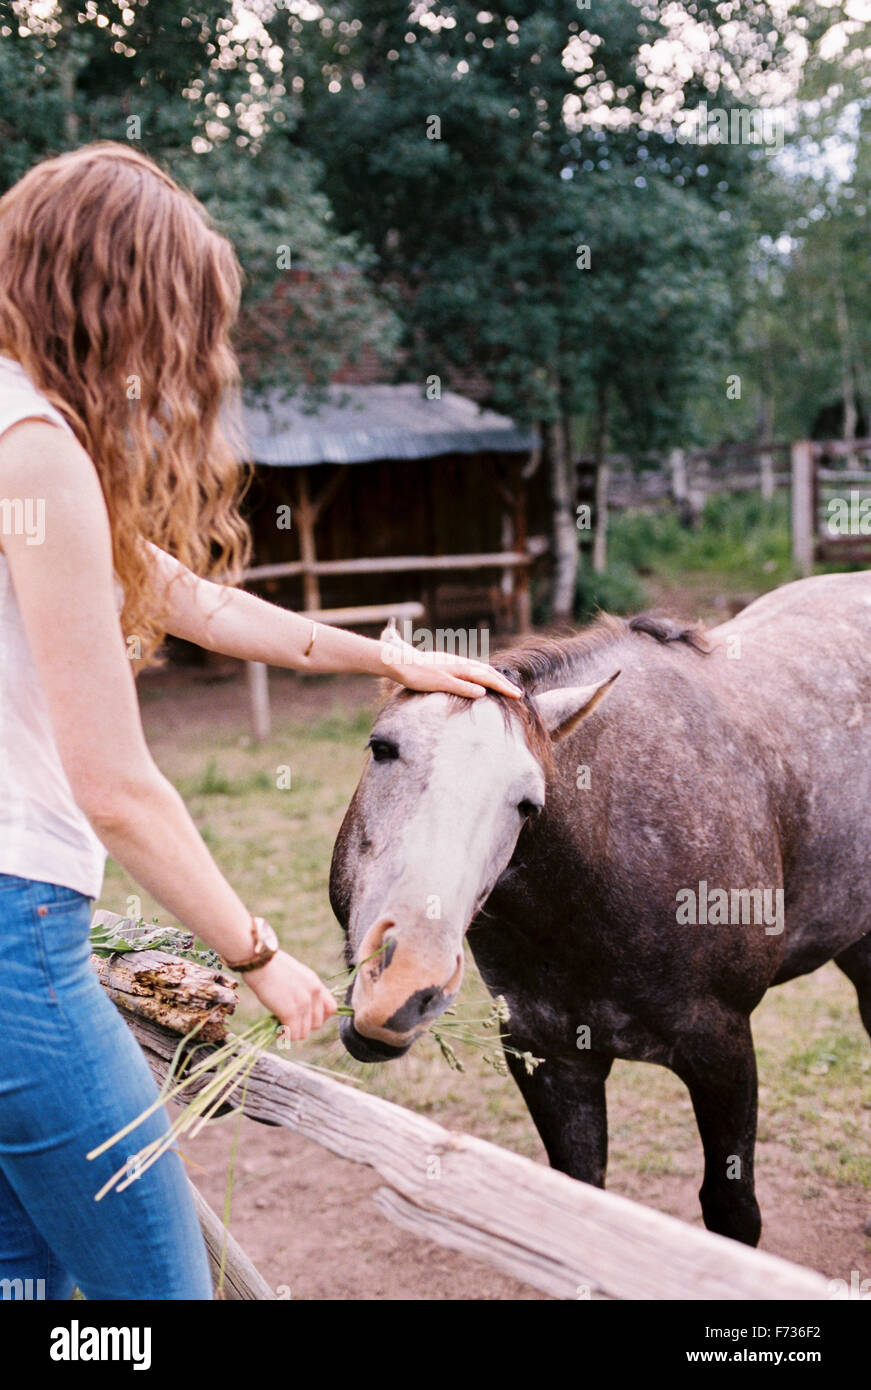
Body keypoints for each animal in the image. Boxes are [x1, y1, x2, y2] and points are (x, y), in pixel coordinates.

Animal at [329, 572, 871, 1245]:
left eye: (528, 803)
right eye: (382, 748)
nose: (407, 980)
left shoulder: (724, 1050)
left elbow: (732, 1213)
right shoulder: (549, 1056)